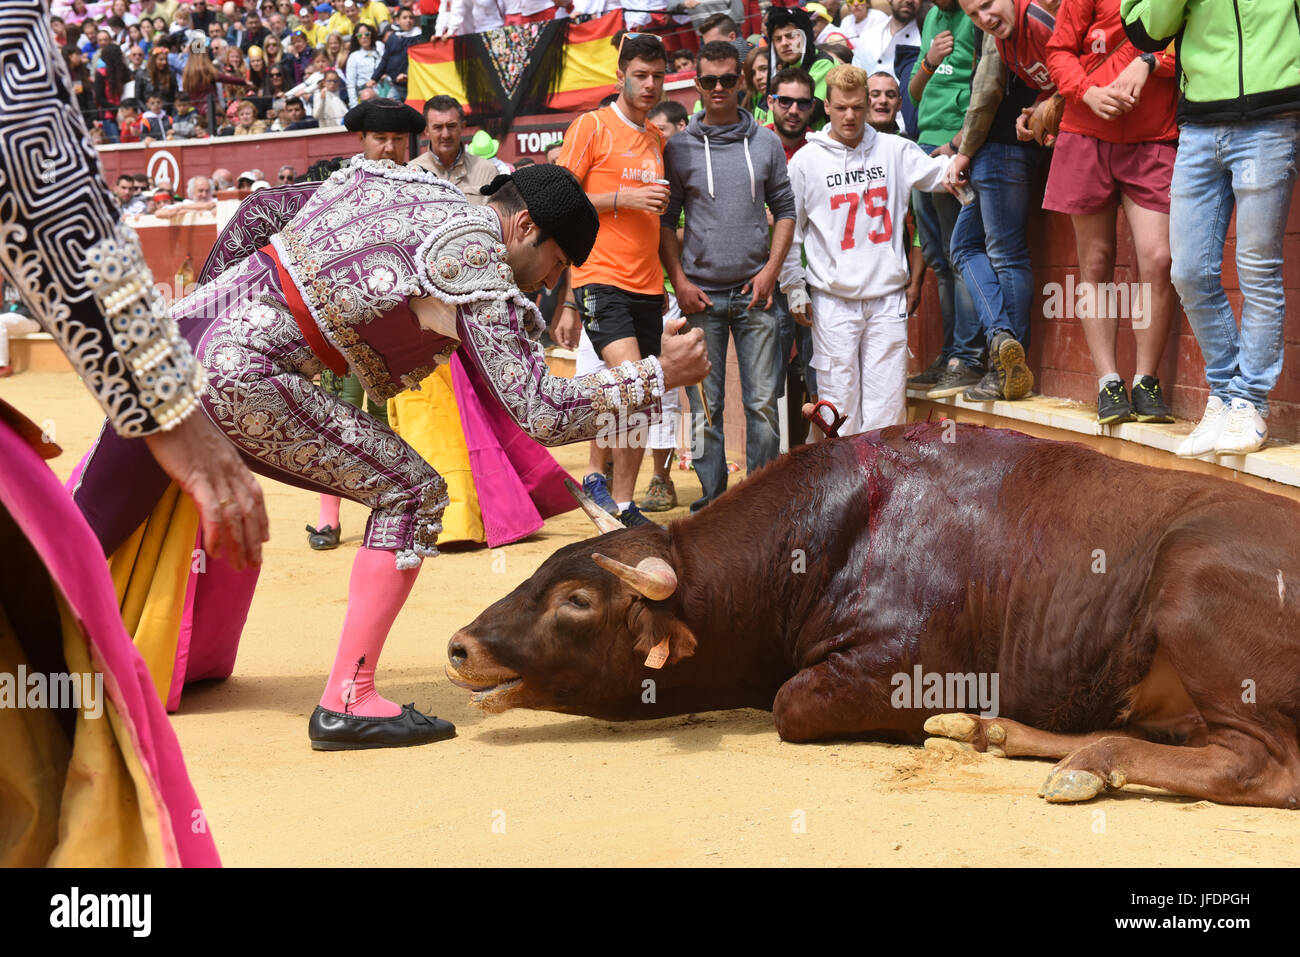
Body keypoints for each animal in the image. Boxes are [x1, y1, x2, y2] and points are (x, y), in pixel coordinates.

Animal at [447, 422, 1300, 809]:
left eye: (578, 601)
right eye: (548, 573)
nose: (458, 646)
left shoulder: (896, 670)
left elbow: (790, 702)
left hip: (1191, 589)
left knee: (1258, 764)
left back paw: (1088, 763)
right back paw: (1007, 735)